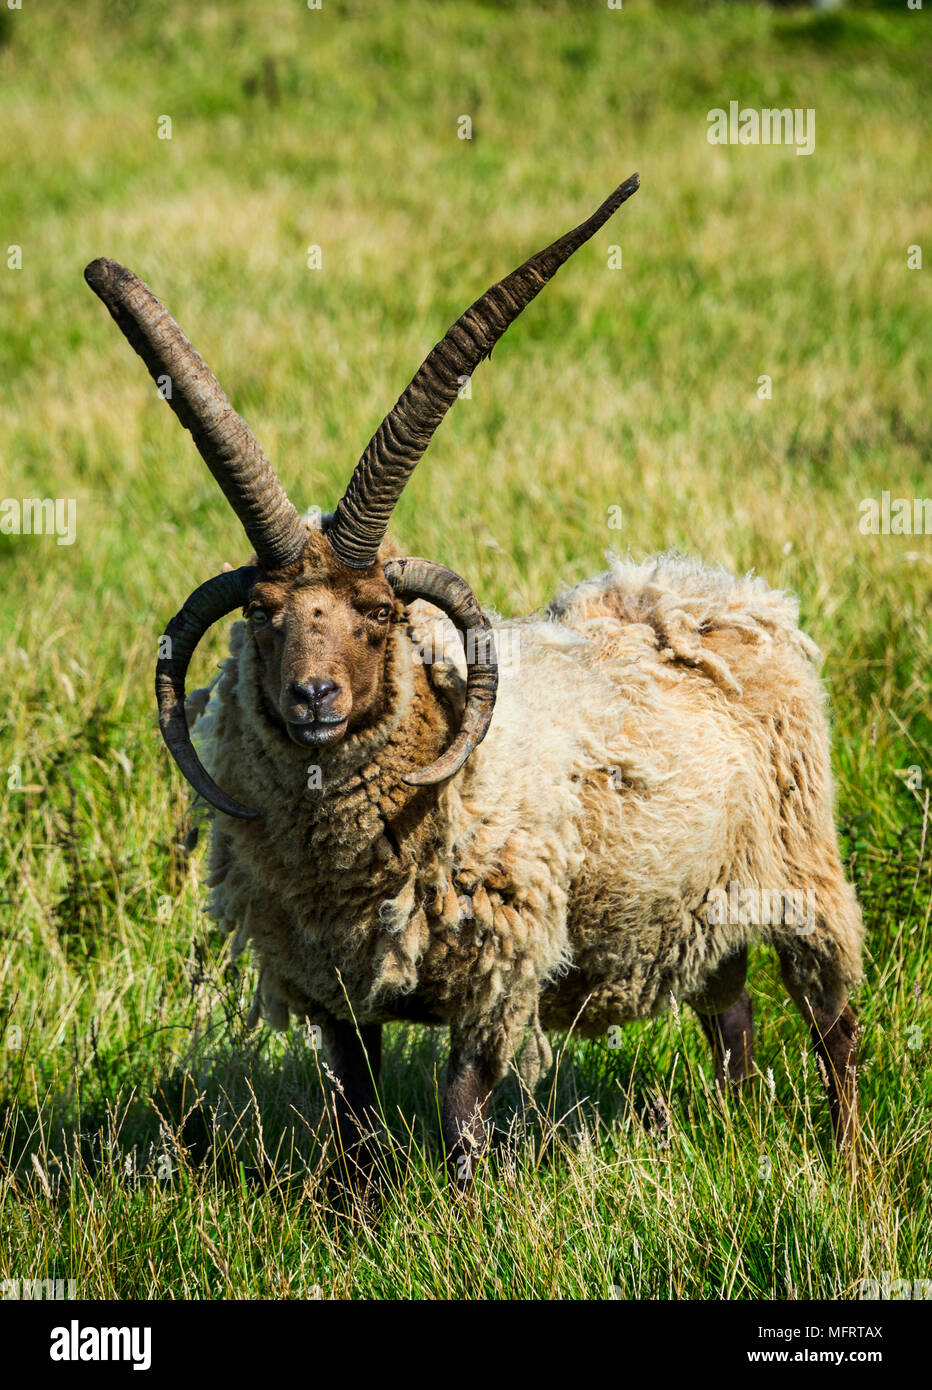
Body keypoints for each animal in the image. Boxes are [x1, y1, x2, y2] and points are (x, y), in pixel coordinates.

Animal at [85, 172, 863, 1195]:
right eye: (260, 609)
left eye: (379, 610)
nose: (313, 701)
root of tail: (719, 591)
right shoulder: (334, 984)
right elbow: (356, 1118)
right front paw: (356, 1214)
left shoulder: (501, 968)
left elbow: (461, 1114)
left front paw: (462, 1210)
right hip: (699, 907)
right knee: (730, 1020)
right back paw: (733, 1134)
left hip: (802, 872)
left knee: (833, 1026)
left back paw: (853, 1163)